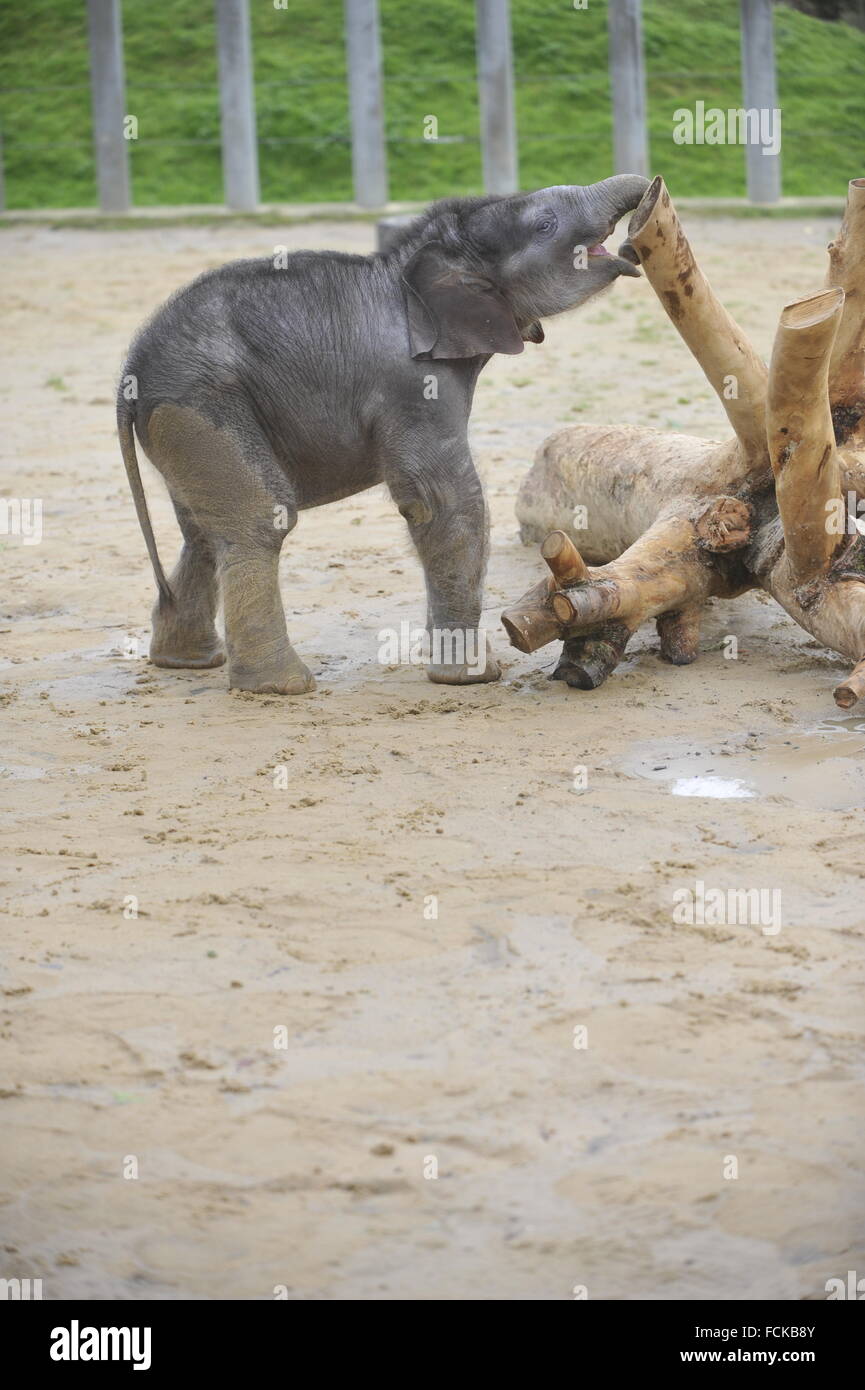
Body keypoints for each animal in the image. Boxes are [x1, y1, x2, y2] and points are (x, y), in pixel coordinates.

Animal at [117, 173, 648, 694]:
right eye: (545, 225)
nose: (645, 208)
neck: (419, 260)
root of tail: (128, 375)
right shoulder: (412, 382)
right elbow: (445, 501)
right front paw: (472, 677)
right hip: (204, 403)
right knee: (260, 518)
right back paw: (281, 686)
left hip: (187, 421)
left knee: (203, 530)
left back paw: (187, 663)